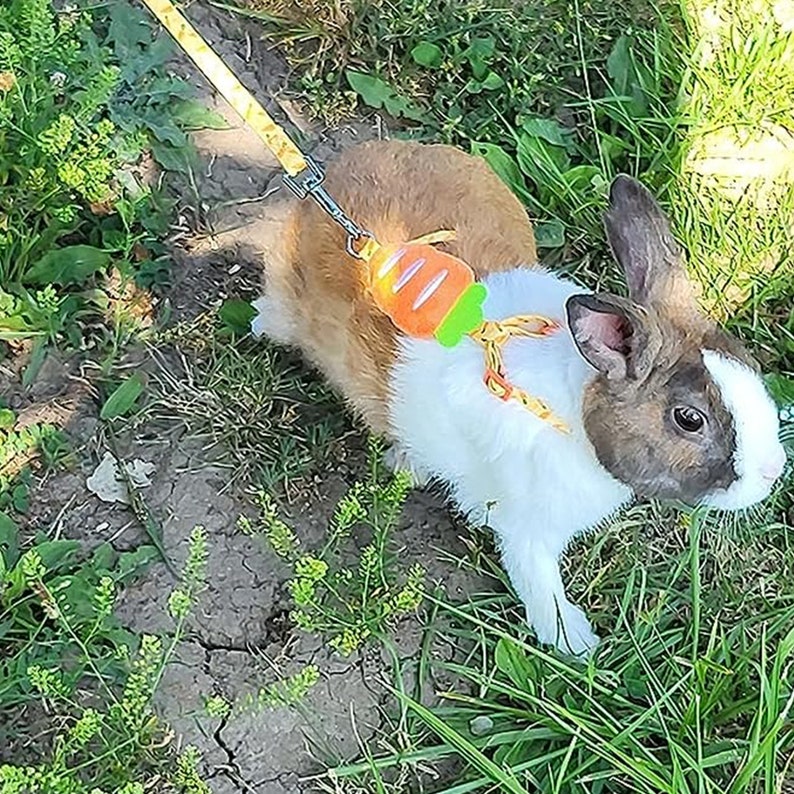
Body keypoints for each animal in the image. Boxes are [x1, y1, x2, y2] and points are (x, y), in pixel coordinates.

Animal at [251, 139, 787, 656]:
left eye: (751, 368)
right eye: (689, 419)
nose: (772, 471)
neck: (573, 412)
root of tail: (336, 171)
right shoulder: (524, 525)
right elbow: (536, 575)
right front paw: (574, 642)